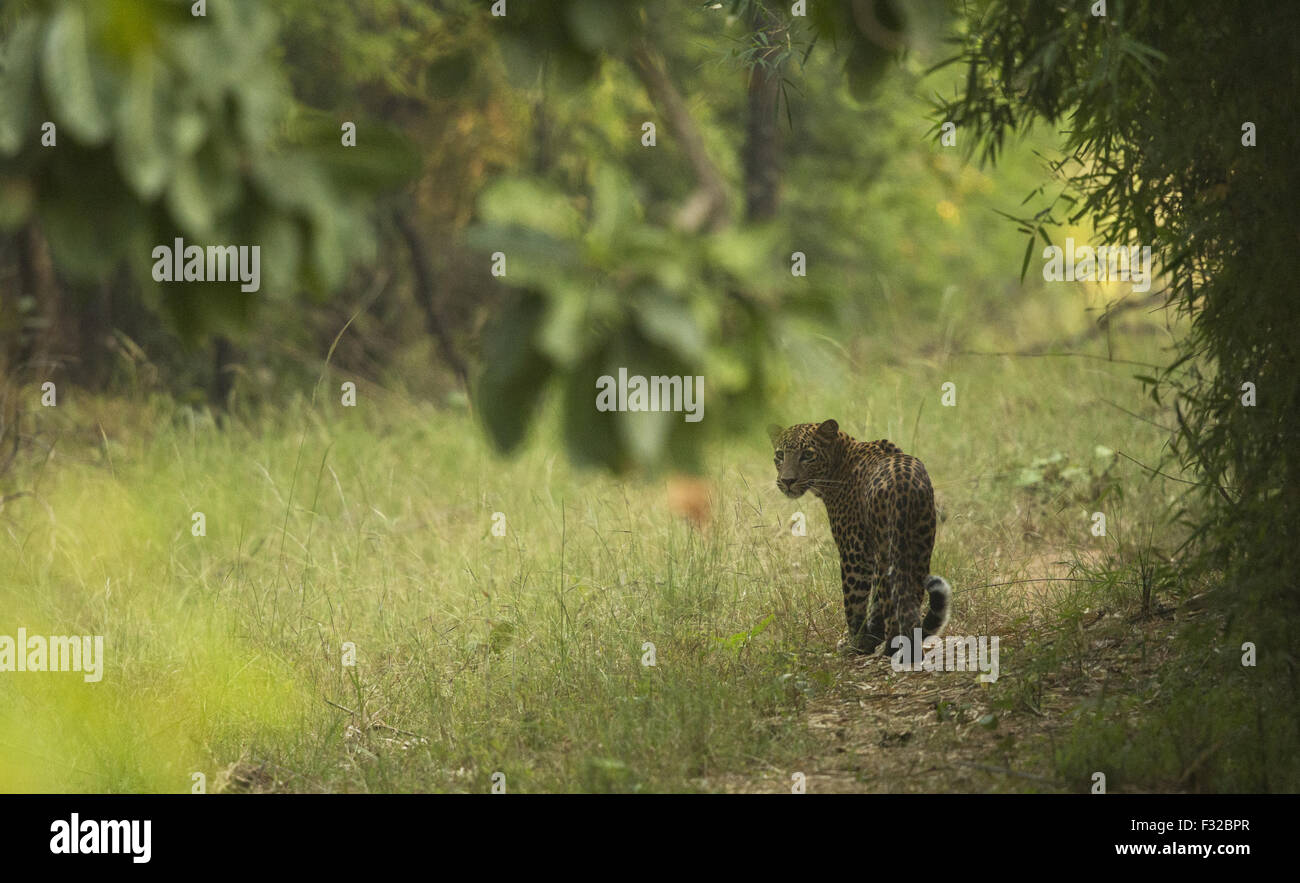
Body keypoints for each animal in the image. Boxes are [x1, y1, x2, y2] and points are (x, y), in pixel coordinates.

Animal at [768, 418, 951, 656]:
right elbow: (874, 604)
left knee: (889, 599)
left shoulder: (854, 549)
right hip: (920, 544)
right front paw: (869, 637)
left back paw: (888, 647)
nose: (787, 481)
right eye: (780, 455)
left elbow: (854, 601)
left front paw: (856, 642)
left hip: (885, 549)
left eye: (807, 454)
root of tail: (903, 488)